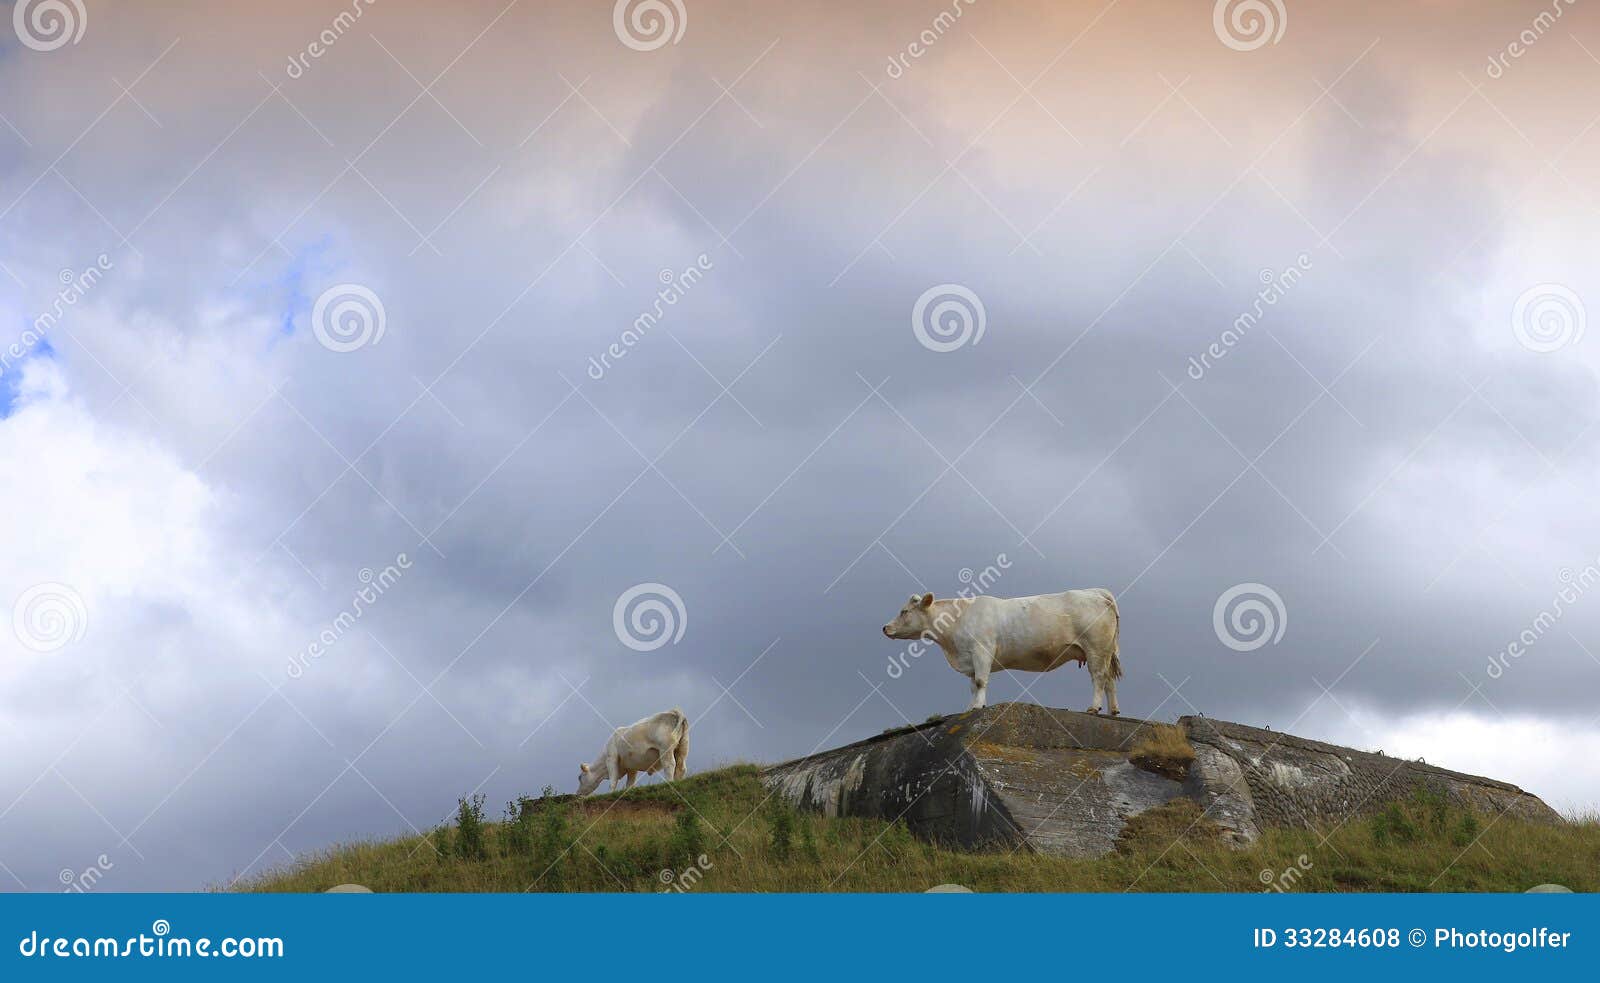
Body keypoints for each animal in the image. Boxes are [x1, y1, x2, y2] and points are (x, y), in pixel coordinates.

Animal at [882, 589, 1123, 715]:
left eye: (904, 611)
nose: (885, 627)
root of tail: (1096, 592)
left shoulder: (982, 650)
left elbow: (981, 682)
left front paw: (978, 705)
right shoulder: (970, 658)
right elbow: (972, 686)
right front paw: (970, 707)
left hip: (1095, 648)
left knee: (1099, 677)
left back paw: (1094, 708)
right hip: (1106, 651)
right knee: (1109, 680)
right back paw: (1113, 711)